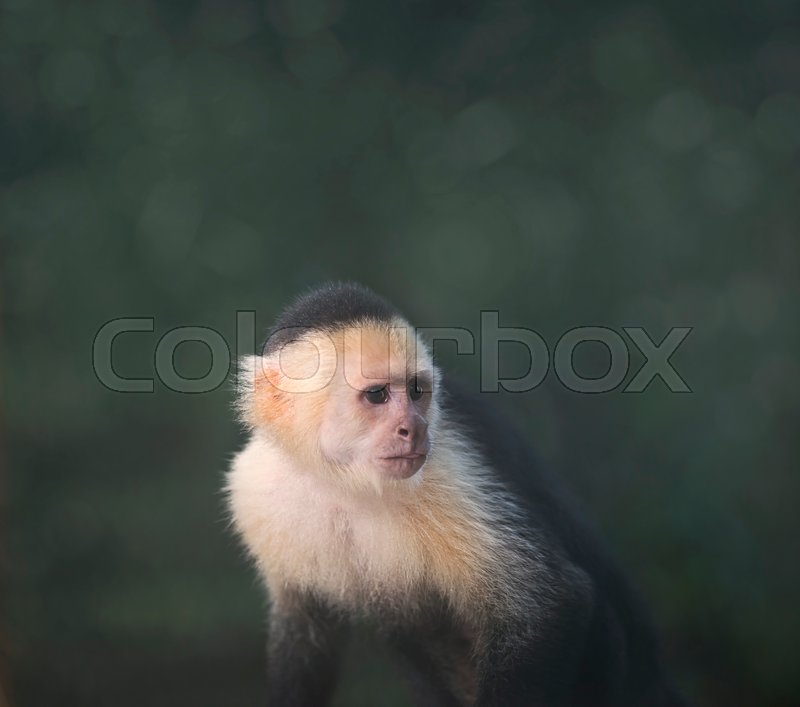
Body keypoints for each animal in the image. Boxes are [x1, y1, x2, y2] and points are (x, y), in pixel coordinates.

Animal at [226, 282, 689, 707]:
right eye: (377, 395)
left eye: (416, 391)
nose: (413, 429)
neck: (343, 481)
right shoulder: (253, 491)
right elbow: (303, 634)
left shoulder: (446, 470)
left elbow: (550, 602)